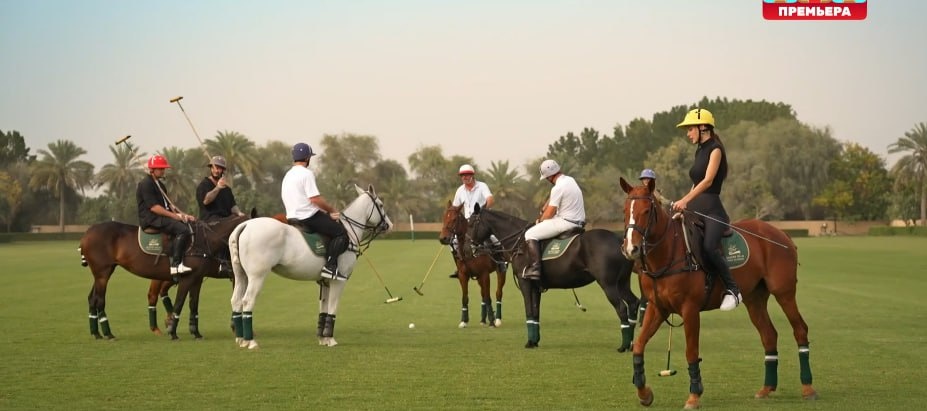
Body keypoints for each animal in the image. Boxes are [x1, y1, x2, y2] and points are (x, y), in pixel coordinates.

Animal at [79, 212, 250, 342]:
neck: (205, 240)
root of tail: (87, 233)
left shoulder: (197, 278)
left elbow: (193, 305)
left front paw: (196, 332)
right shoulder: (188, 278)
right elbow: (179, 303)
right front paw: (173, 332)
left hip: (102, 273)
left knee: (92, 298)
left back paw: (96, 333)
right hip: (103, 273)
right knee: (100, 299)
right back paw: (108, 333)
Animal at [234, 185, 394, 350]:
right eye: (381, 205)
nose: (390, 226)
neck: (349, 233)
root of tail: (246, 225)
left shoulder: (325, 282)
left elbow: (323, 309)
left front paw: (322, 339)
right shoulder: (339, 280)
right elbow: (332, 308)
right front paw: (330, 339)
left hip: (241, 274)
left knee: (236, 300)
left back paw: (241, 339)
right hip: (257, 275)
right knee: (247, 301)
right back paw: (251, 341)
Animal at [472, 204, 640, 350]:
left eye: (472, 222)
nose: (473, 247)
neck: (519, 242)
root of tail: (620, 241)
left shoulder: (525, 281)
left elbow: (529, 311)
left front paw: (529, 343)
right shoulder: (536, 287)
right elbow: (535, 313)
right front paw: (534, 341)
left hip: (608, 284)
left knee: (621, 308)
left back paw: (624, 346)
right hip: (622, 282)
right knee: (633, 303)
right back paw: (631, 345)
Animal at [620, 179, 816, 410]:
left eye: (647, 210)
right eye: (625, 211)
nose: (630, 249)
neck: (669, 252)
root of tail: (783, 234)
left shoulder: (690, 309)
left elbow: (691, 352)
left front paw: (694, 396)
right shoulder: (658, 307)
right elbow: (638, 346)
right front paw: (644, 393)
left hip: (784, 292)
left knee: (800, 329)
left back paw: (808, 388)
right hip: (755, 299)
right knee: (769, 335)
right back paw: (767, 388)